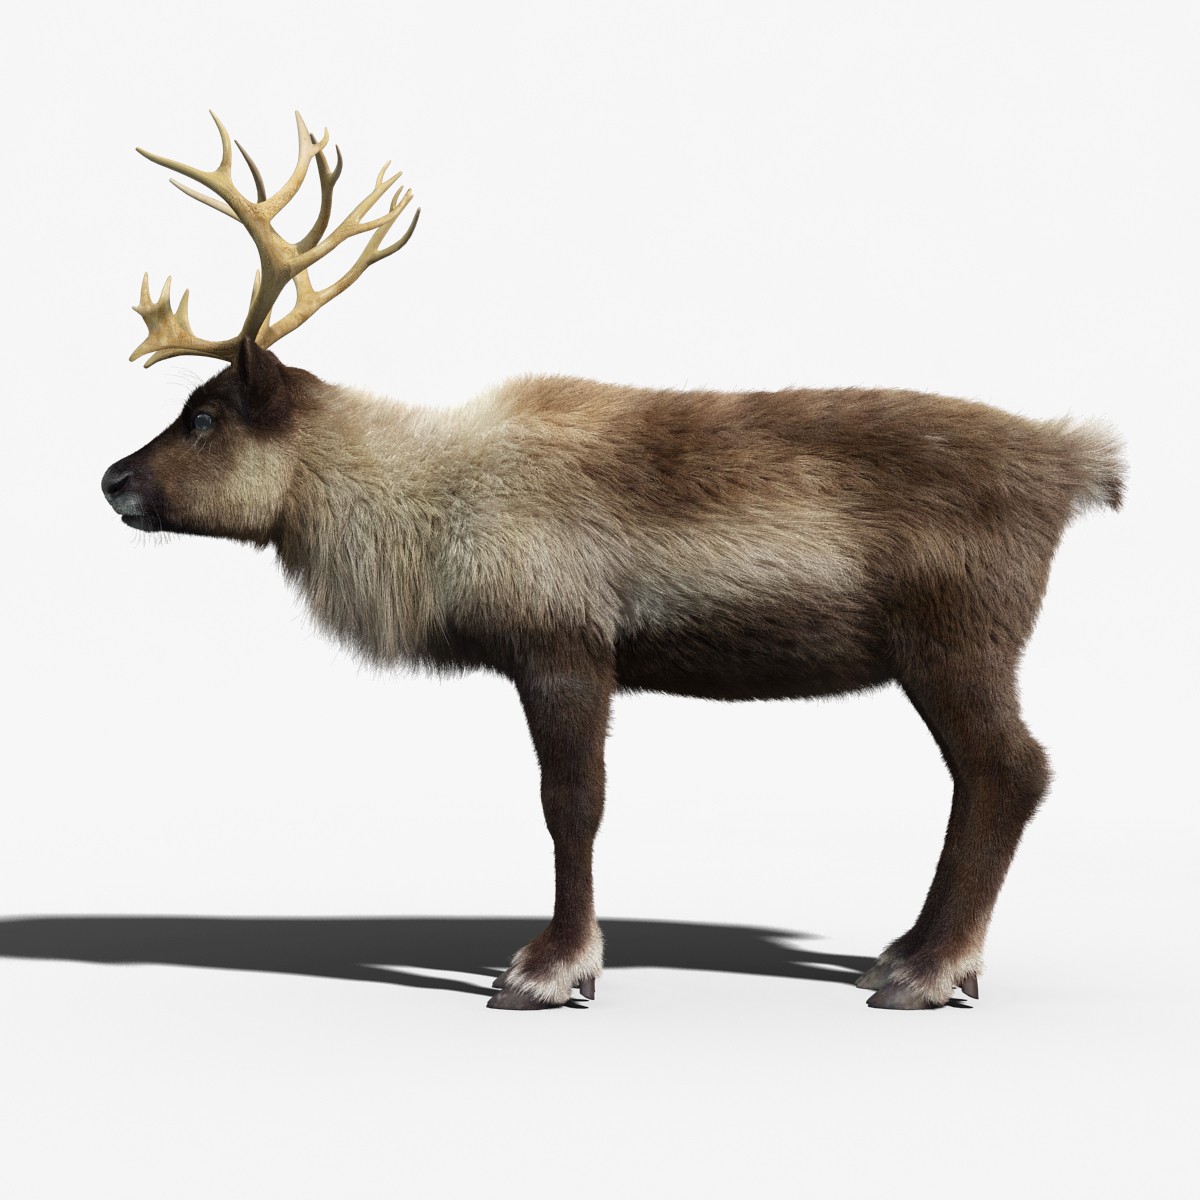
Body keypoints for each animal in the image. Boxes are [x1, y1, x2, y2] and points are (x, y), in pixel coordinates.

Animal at [102, 112, 1125, 1011]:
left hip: (958, 637)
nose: (111, 480)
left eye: (204, 417)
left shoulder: (564, 646)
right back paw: (913, 952)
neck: (420, 511)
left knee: (1011, 769)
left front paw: (551, 969)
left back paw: (931, 969)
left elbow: (572, 803)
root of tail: (1073, 461)